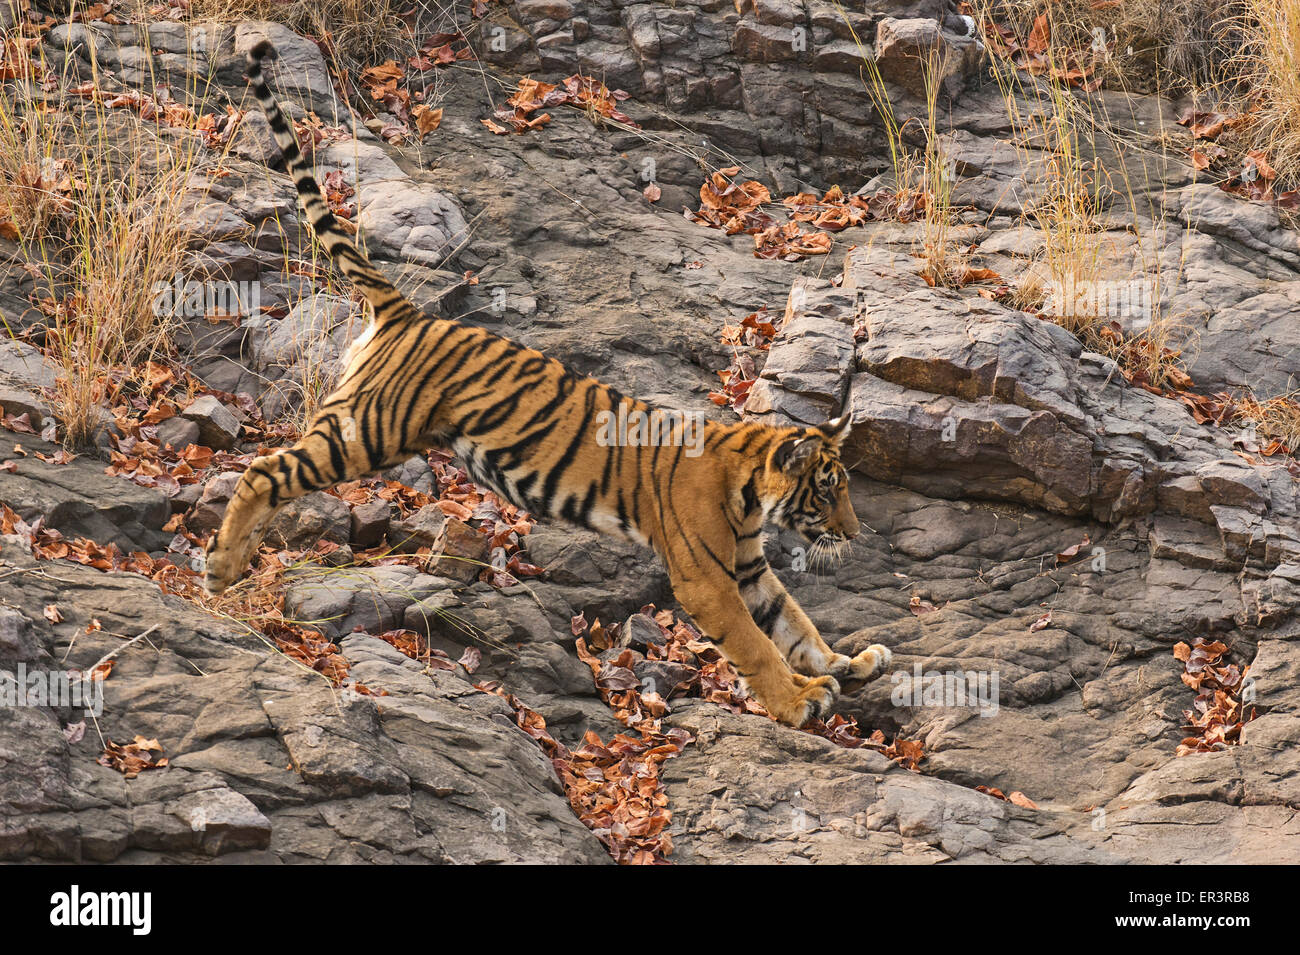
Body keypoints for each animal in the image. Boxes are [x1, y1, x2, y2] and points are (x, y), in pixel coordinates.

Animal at [202, 40, 893, 727]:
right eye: (827, 492)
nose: (856, 535)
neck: (749, 492)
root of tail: (409, 312)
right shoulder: (708, 577)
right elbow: (755, 643)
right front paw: (798, 700)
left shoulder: (749, 567)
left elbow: (793, 624)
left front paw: (845, 664)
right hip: (365, 432)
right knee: (262, 469)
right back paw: (220, 569)